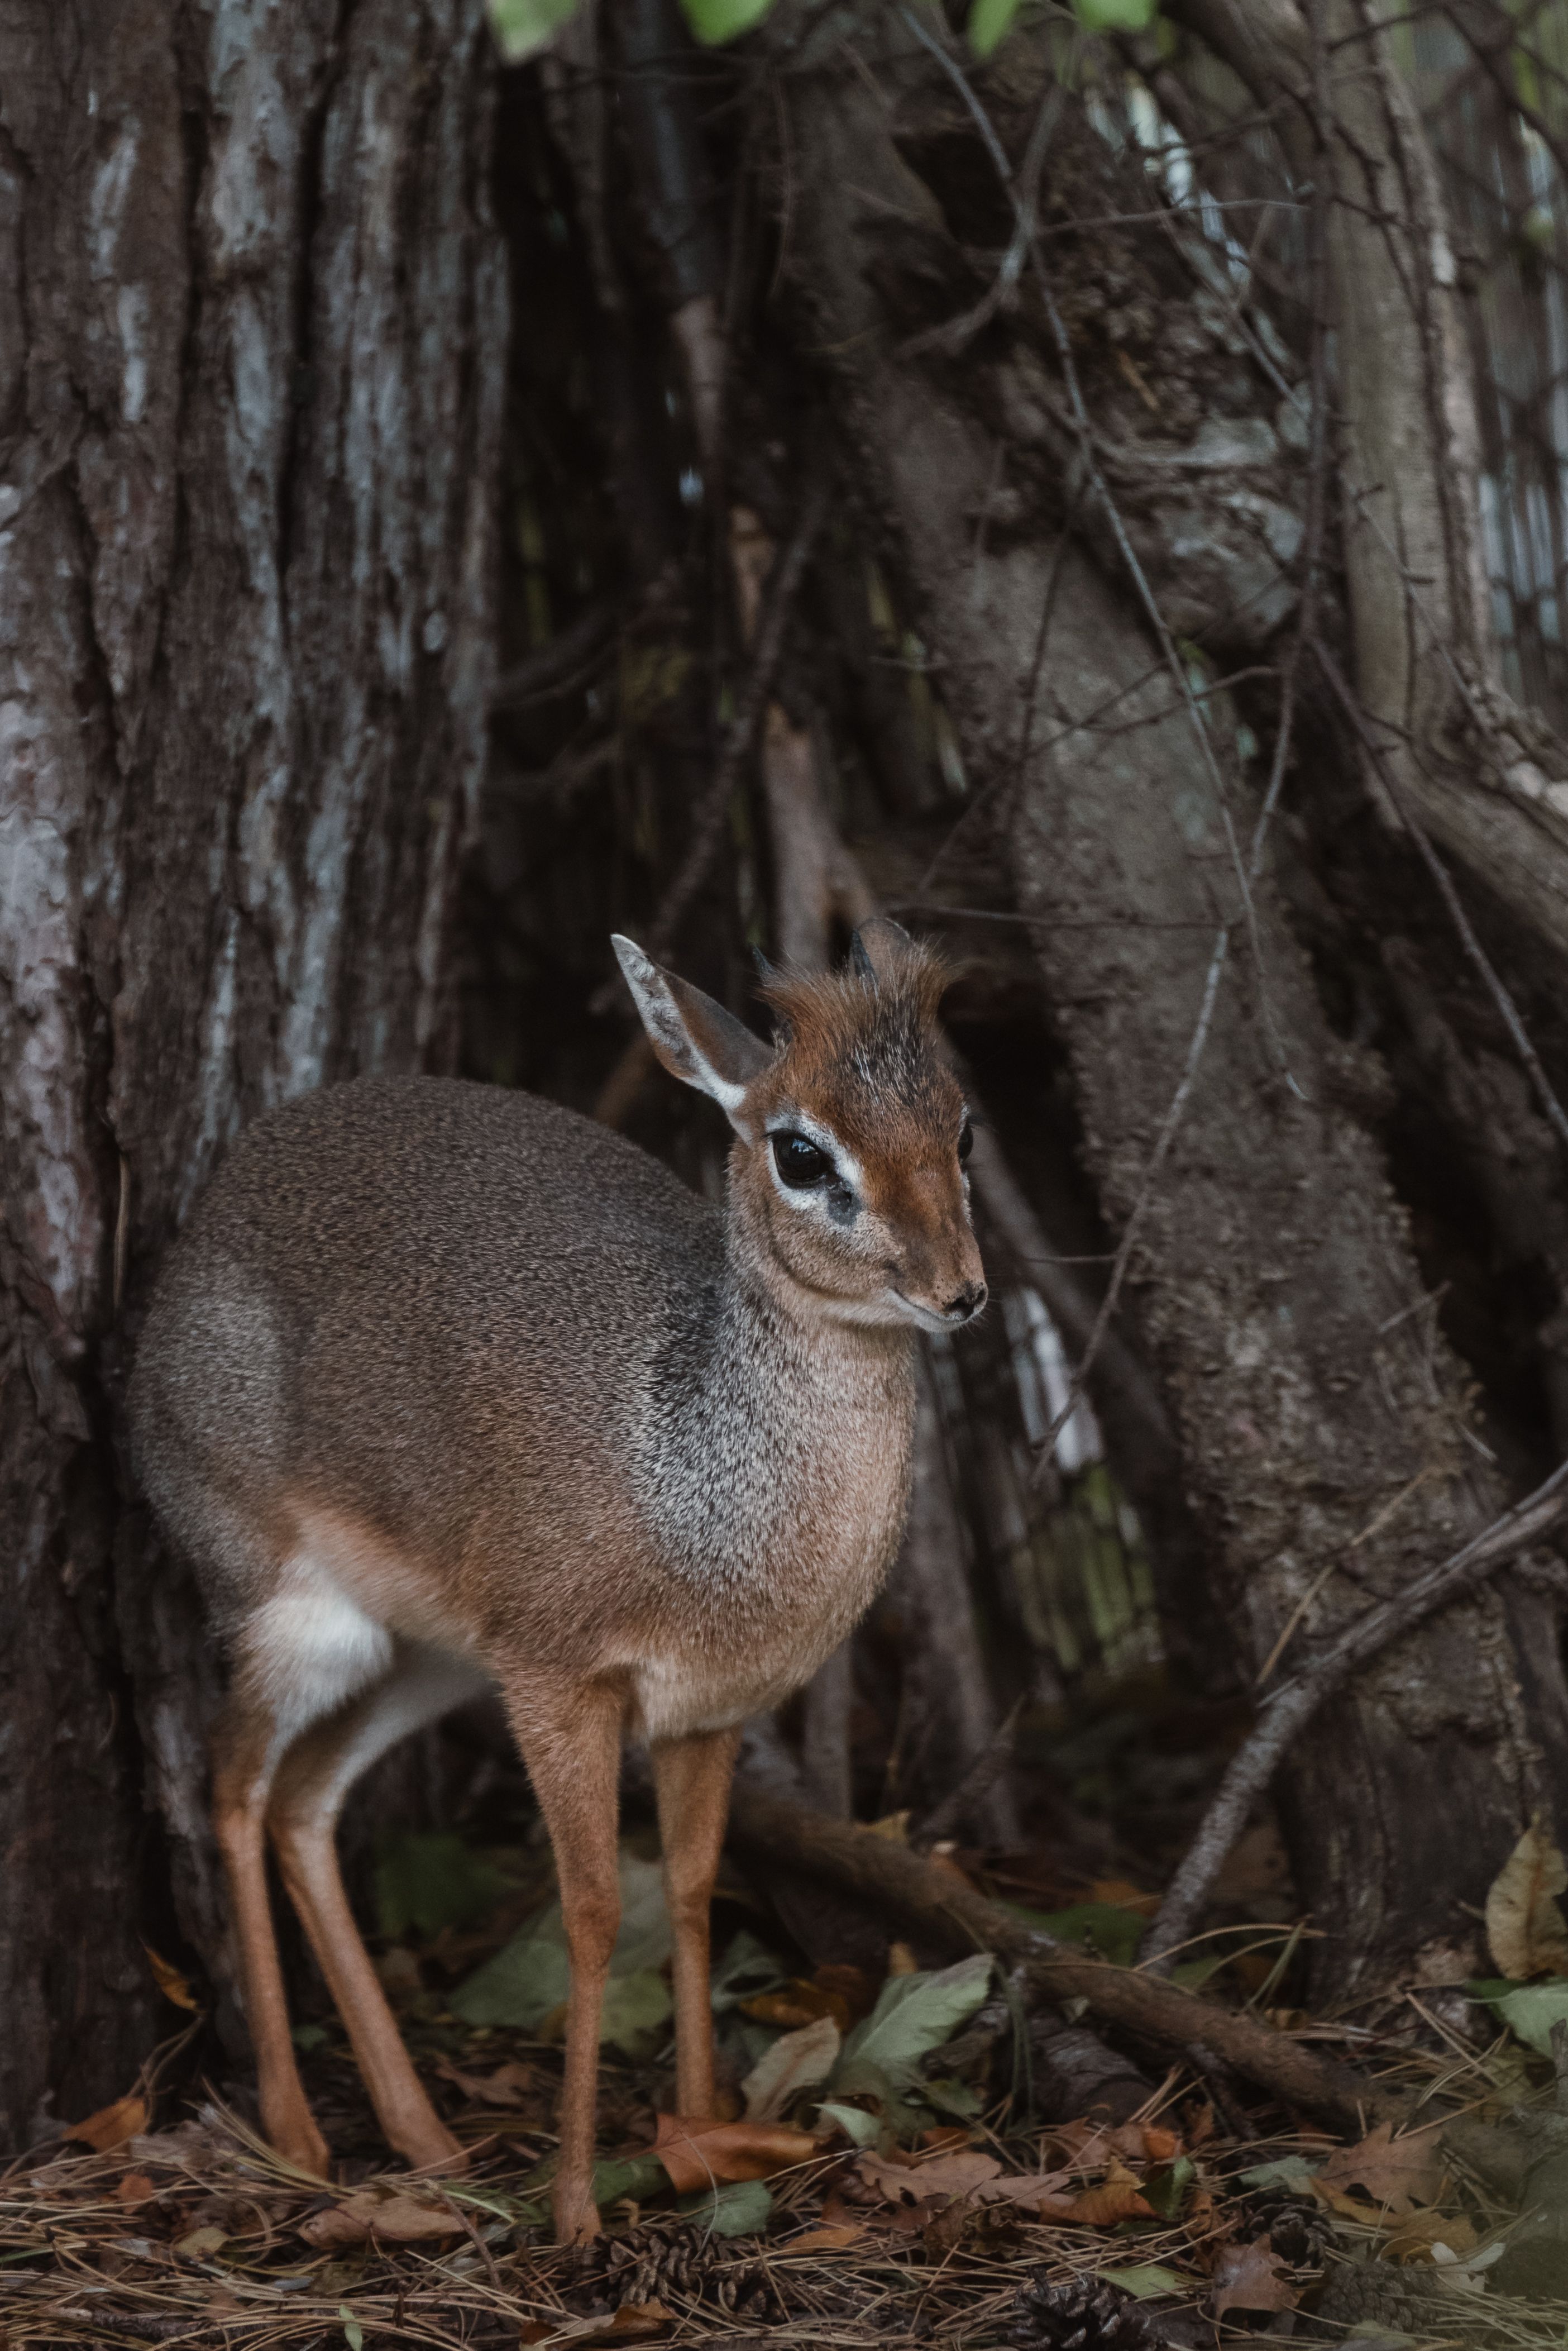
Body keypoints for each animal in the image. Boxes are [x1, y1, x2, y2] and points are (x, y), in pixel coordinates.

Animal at [129, 919, 985, 2242]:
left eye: (962, 1123)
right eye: (801, 1150)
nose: (959, 1288)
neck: (692, 1469)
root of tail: (202, 1222)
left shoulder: (706, 1708)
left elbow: (688, 1888)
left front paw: (706, 2131)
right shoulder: (560, 1676)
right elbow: (589, 1909)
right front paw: (579, 2200)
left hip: (428, 1658)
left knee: (303, 1800)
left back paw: (424, 2135)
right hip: (293, 1613)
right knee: (229, 1785)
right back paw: (298, 2132)